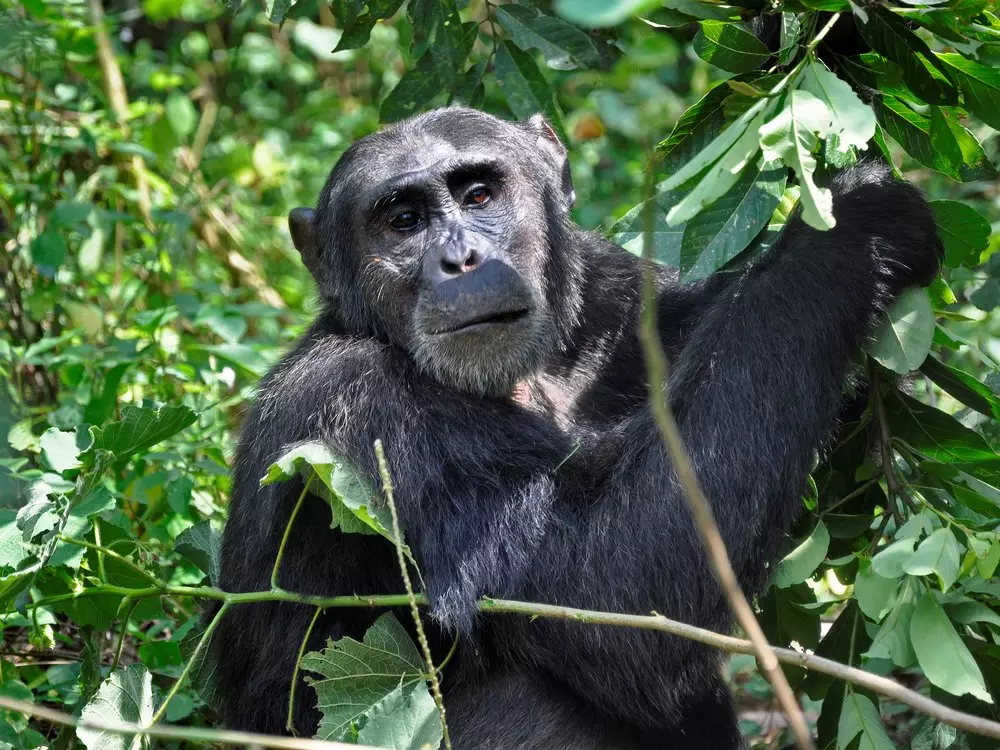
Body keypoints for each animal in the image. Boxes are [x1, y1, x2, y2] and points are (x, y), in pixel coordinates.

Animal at [215, 107, 940, 750]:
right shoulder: (358, 414)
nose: (461, 258)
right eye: (402, 221)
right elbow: (608, 588)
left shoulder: (625, 292)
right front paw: (851, 234)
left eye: (479, 194)